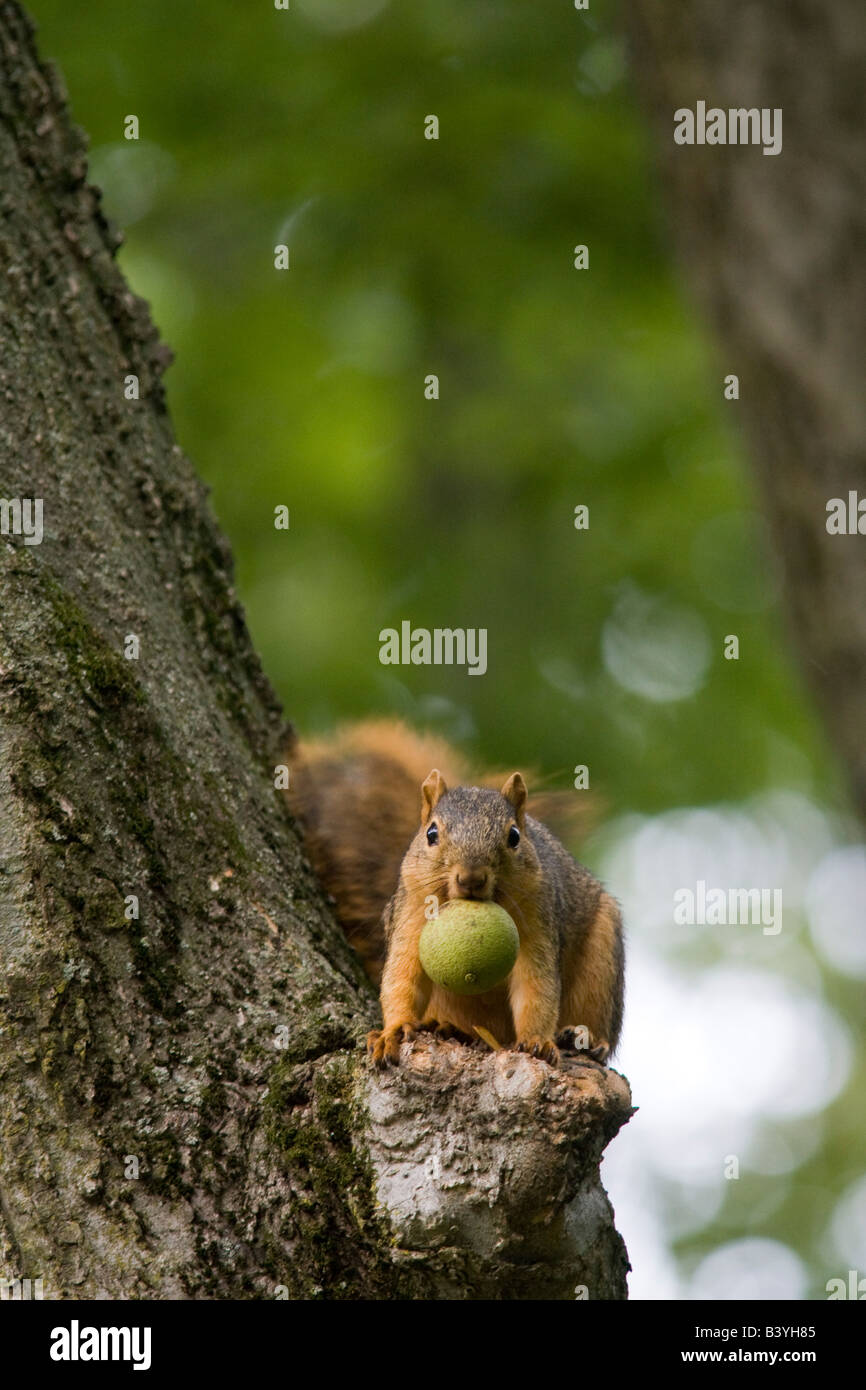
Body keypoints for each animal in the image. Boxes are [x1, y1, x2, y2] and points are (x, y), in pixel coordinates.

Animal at [286, 719, 624, 1069]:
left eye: (514, 836)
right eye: (431, 833)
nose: (471, 877)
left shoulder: (538, 914)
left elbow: (535, 985)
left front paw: (537, 1041)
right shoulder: (411, 909)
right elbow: (402, 975)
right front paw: (392, 1031)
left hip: (601, 961)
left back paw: (583, 1038)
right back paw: (445, 1025)